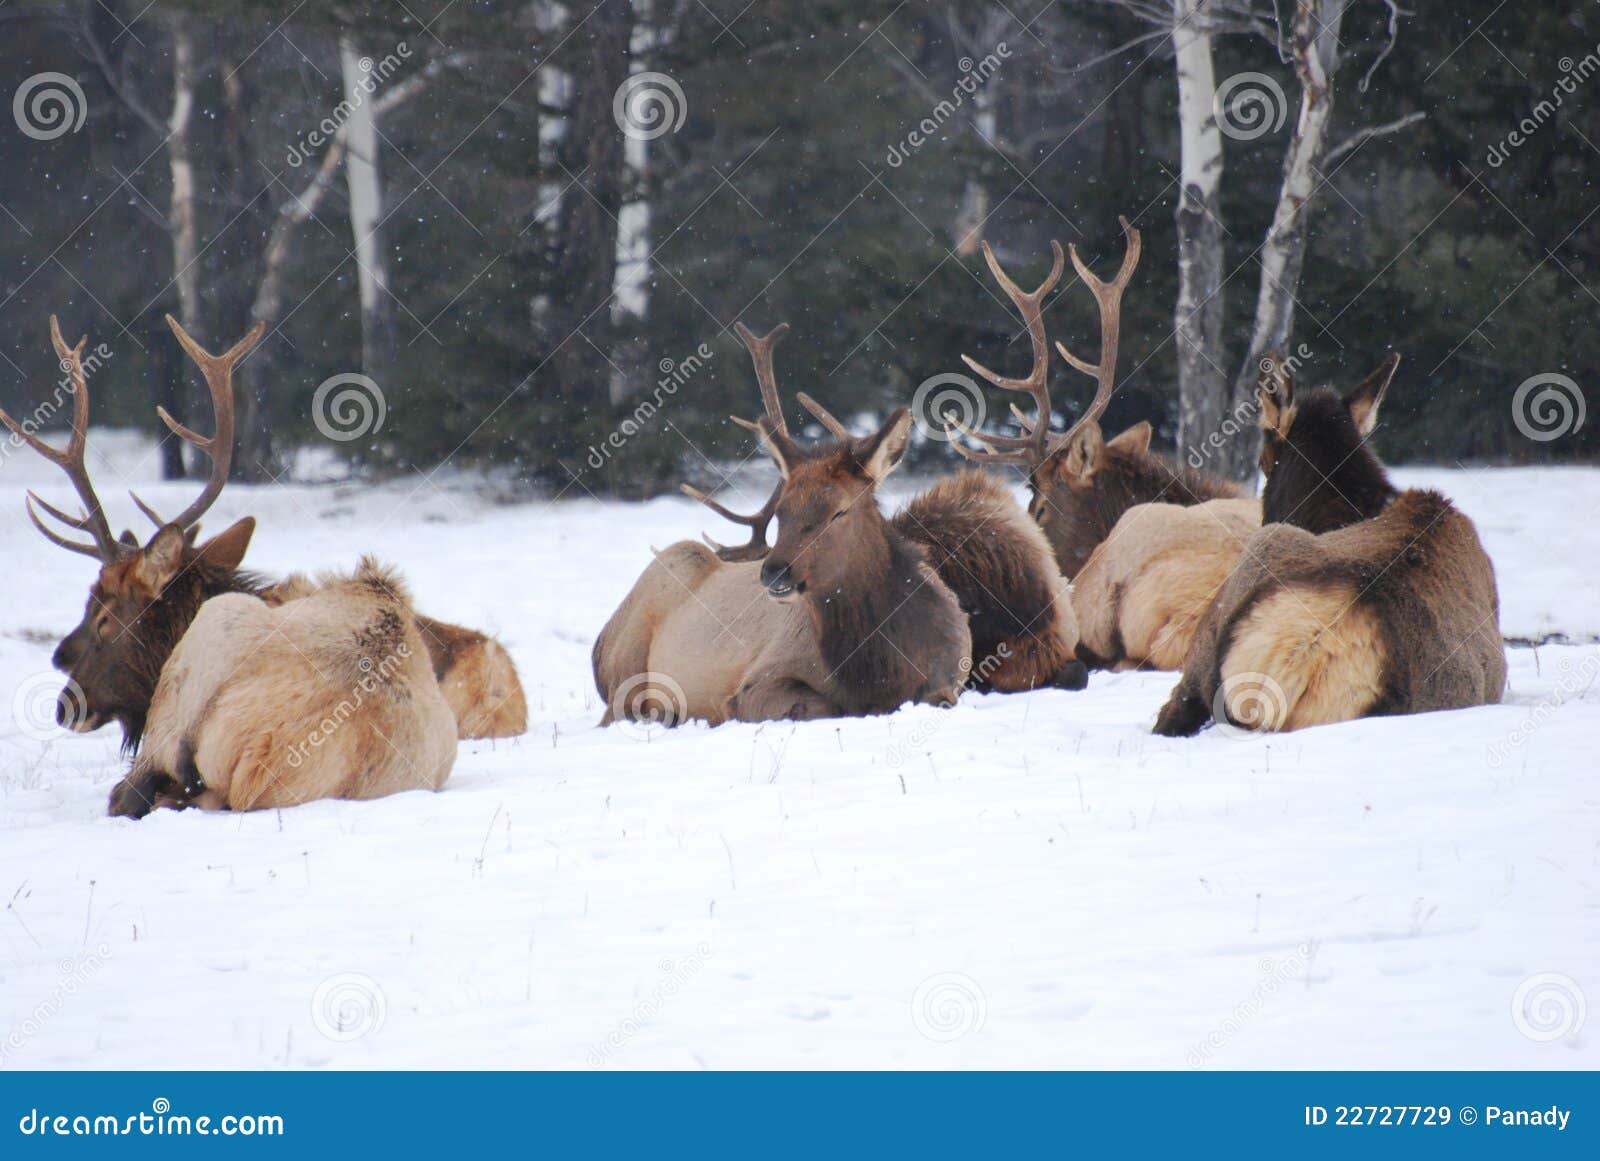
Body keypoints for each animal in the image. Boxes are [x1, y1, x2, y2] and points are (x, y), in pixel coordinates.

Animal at [593, 321, 1085, 726]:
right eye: (781, 511)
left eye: (840, 511)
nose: (774, 573)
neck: (879, 669)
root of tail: (599, 644)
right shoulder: (756, 684)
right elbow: (825, 706)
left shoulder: (952, 678)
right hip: (633, 642)